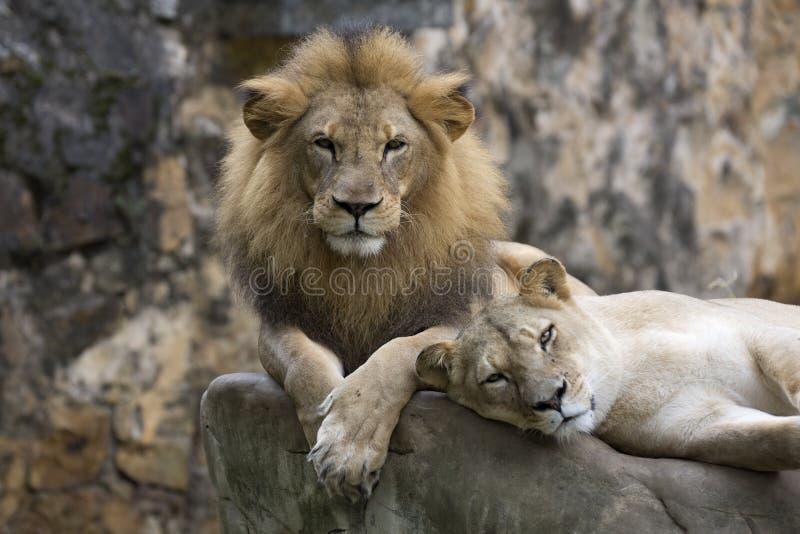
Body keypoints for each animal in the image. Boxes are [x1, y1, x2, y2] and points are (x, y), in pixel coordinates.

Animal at [216, 26, 594, 501]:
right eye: (325, 144)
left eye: (393, 146)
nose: (357, 206)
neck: (362, 274)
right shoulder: (284, 321)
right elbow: (305, 367)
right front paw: (326, 426)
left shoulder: (460, 320)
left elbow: (396, 353)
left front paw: (348, 443)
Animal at [417, 257, 800, 471]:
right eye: (495, 378)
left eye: (546, 336)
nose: (552, 400)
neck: (632, 365)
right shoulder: (696, 424)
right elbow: (768, 439)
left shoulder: (758, 333)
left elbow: (790, 371)